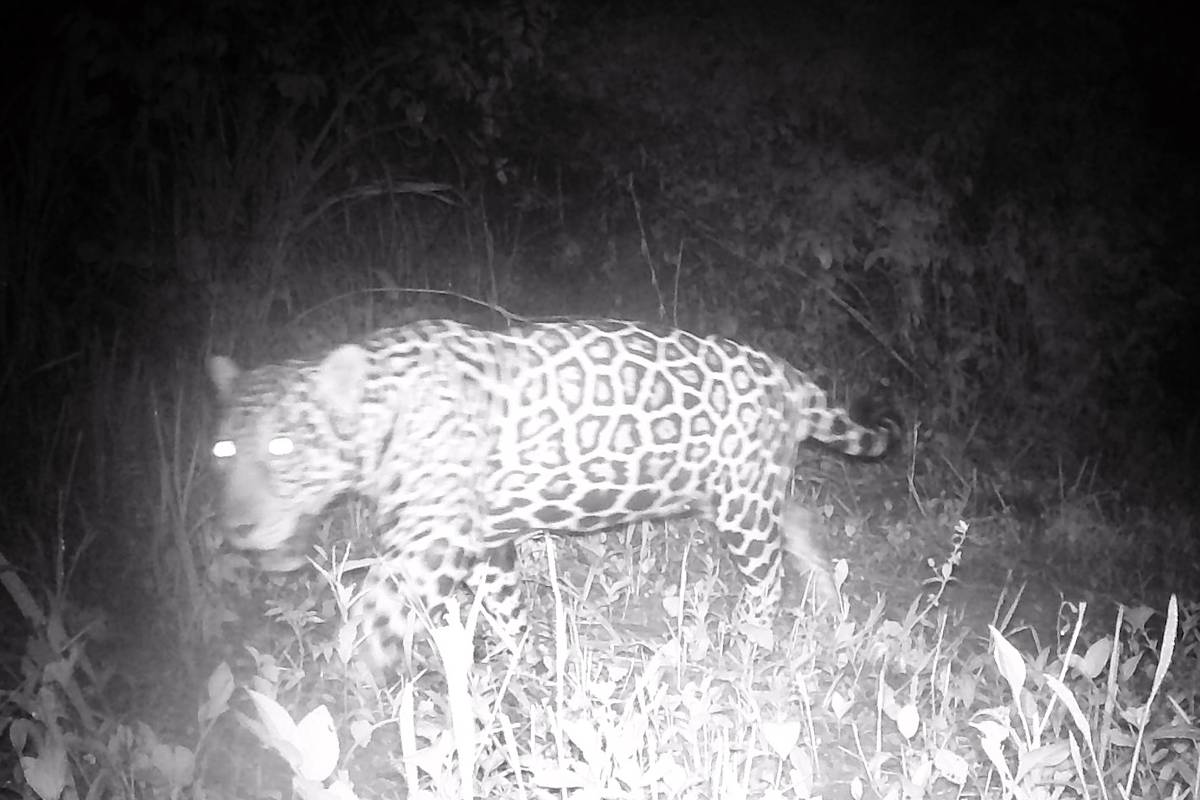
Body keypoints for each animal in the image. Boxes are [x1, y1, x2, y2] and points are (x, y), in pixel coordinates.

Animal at [207, 318, 897, 672]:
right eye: (222, 451)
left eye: (283, 448)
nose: (235, 529)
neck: (384, 410)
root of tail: (786, 372)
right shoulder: (482, 543)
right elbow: (506, 609)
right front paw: (525, 667)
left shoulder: (431, 539)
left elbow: (376, 610)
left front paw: (353, 687)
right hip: (741, 490)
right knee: (801, 527)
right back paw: (829, 608)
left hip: (742, 506)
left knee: (766, 576)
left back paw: (754, 640)